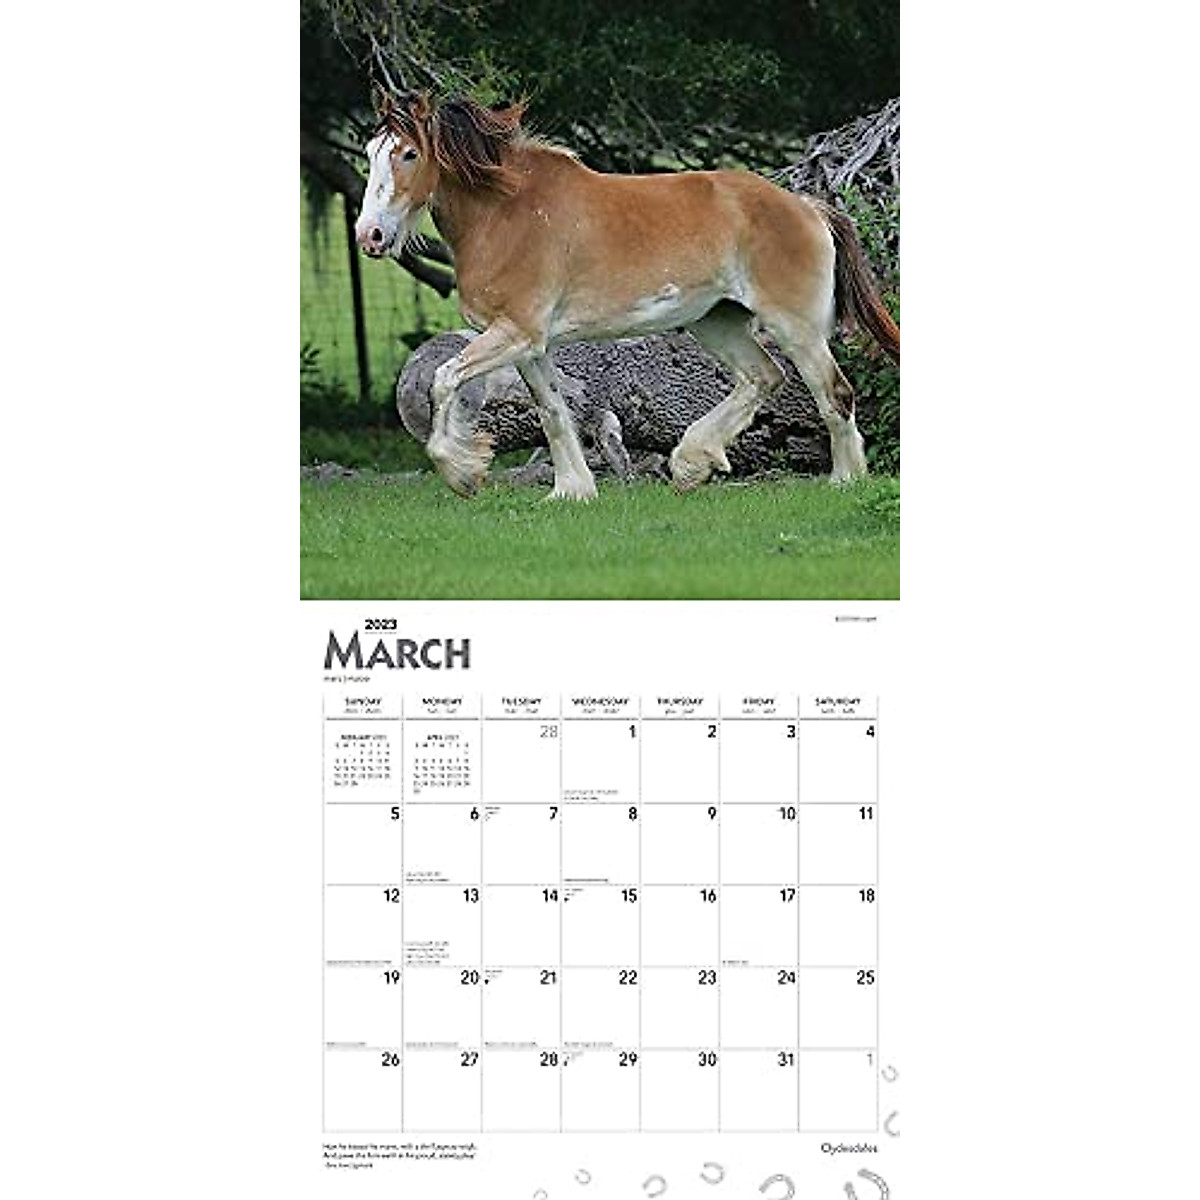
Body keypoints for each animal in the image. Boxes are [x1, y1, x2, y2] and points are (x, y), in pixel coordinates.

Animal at [355, 91, 899, 501]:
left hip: (795, 326)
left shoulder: (514, 333)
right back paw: (692, 464)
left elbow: (444, 380)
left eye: (408, 153)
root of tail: (807, 206)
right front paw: (572, 491)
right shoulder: (529, 346)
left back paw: (844, 480)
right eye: (370, 151)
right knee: (762, 378)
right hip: (716, 321)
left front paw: (462, 473)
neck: (507, 213)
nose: (369, 236)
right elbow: (553, 413)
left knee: (833, 392)